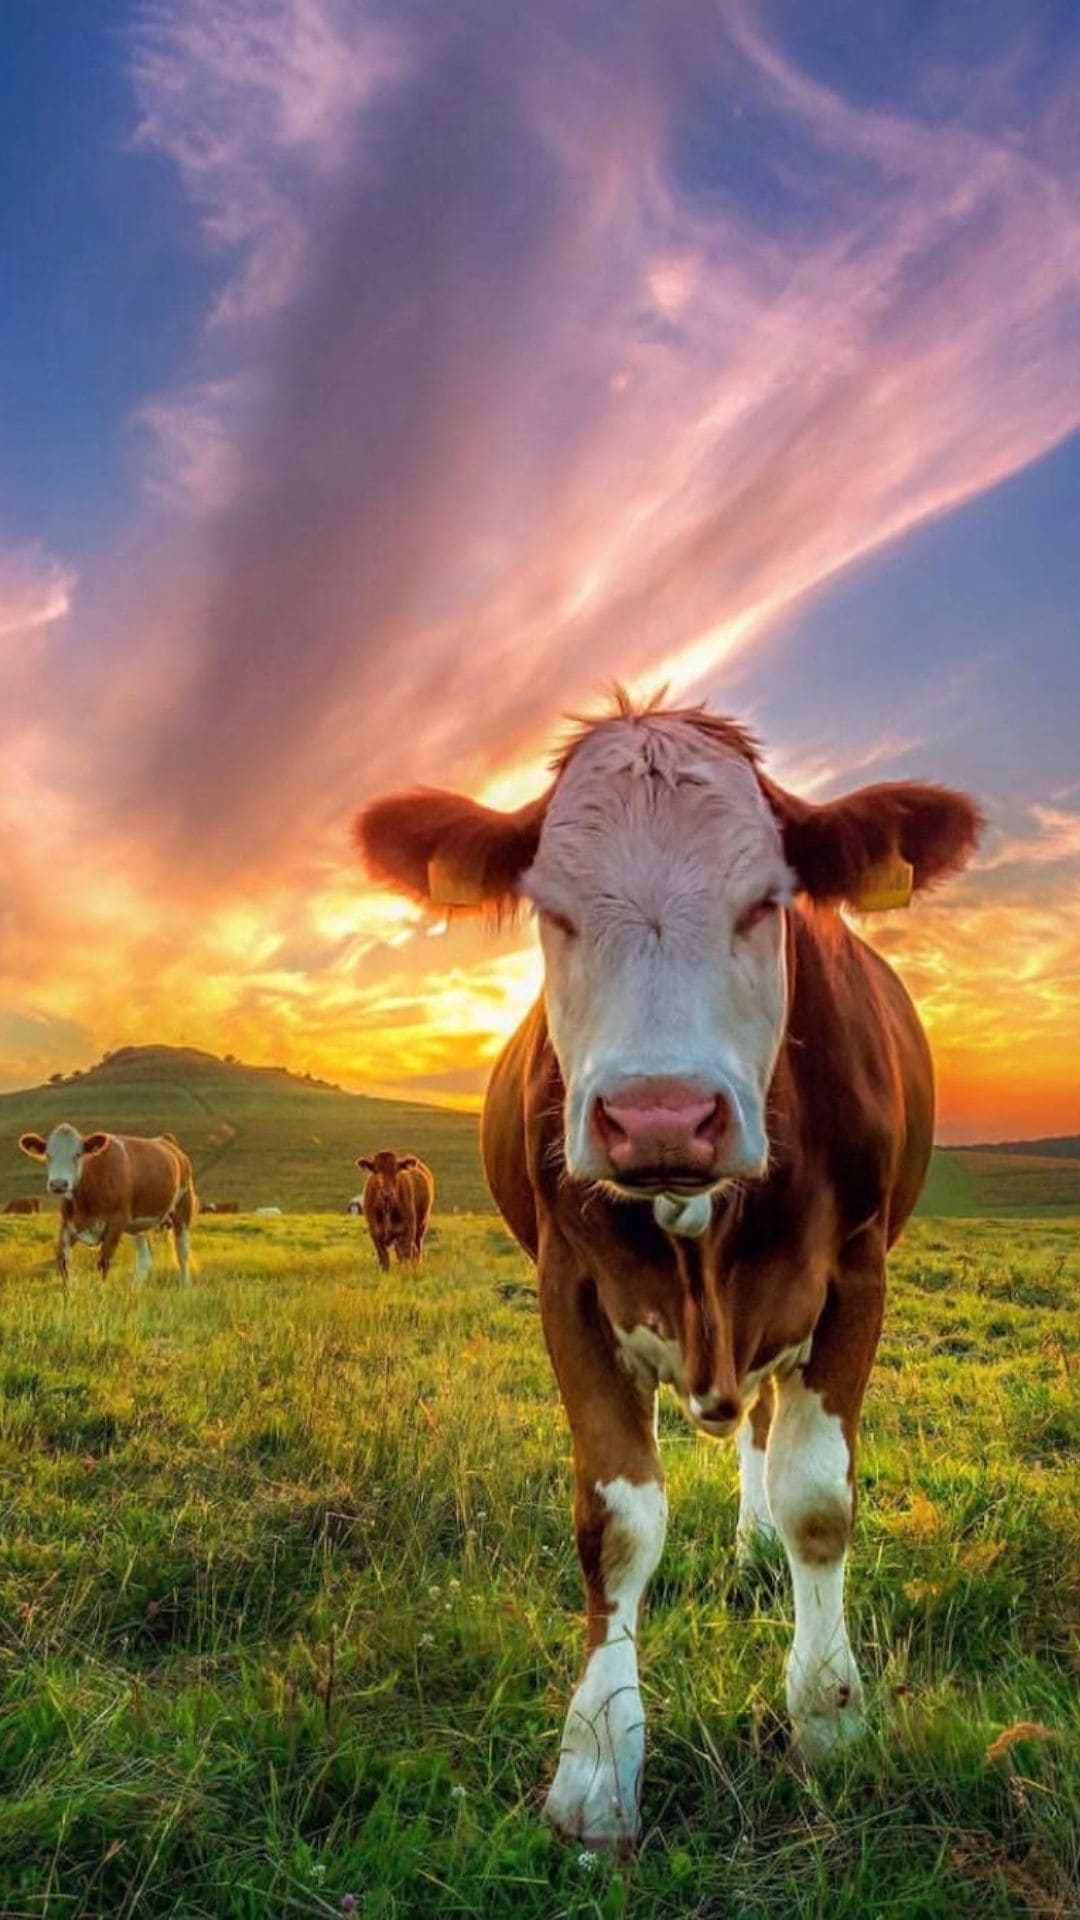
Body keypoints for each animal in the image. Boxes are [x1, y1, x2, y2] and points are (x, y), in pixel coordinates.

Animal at [18, 1123, 197, 1283]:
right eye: (48, 1155)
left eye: (77, 1154)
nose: (58, 1184)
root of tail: (166, 1140)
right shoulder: (68, 1225)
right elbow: (63, 1262)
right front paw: (69, 1294)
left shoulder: (116, 1224)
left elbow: (103, 1263)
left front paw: (100, 1293)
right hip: (139, 1225)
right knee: (144, 1258)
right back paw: (134, 1291)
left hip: (183, 1207)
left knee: (182, 1253)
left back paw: (185, 1286)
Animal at [356, 697, 979, 1852]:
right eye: (551, 909)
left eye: (767, 903)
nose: (658, 1117)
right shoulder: (569, 1288)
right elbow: (617, 1524)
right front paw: (598, 1769)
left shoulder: (856, 1272)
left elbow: (817, 1501)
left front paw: (829, 1718)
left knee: (766, 1440)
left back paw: (755, 1550)